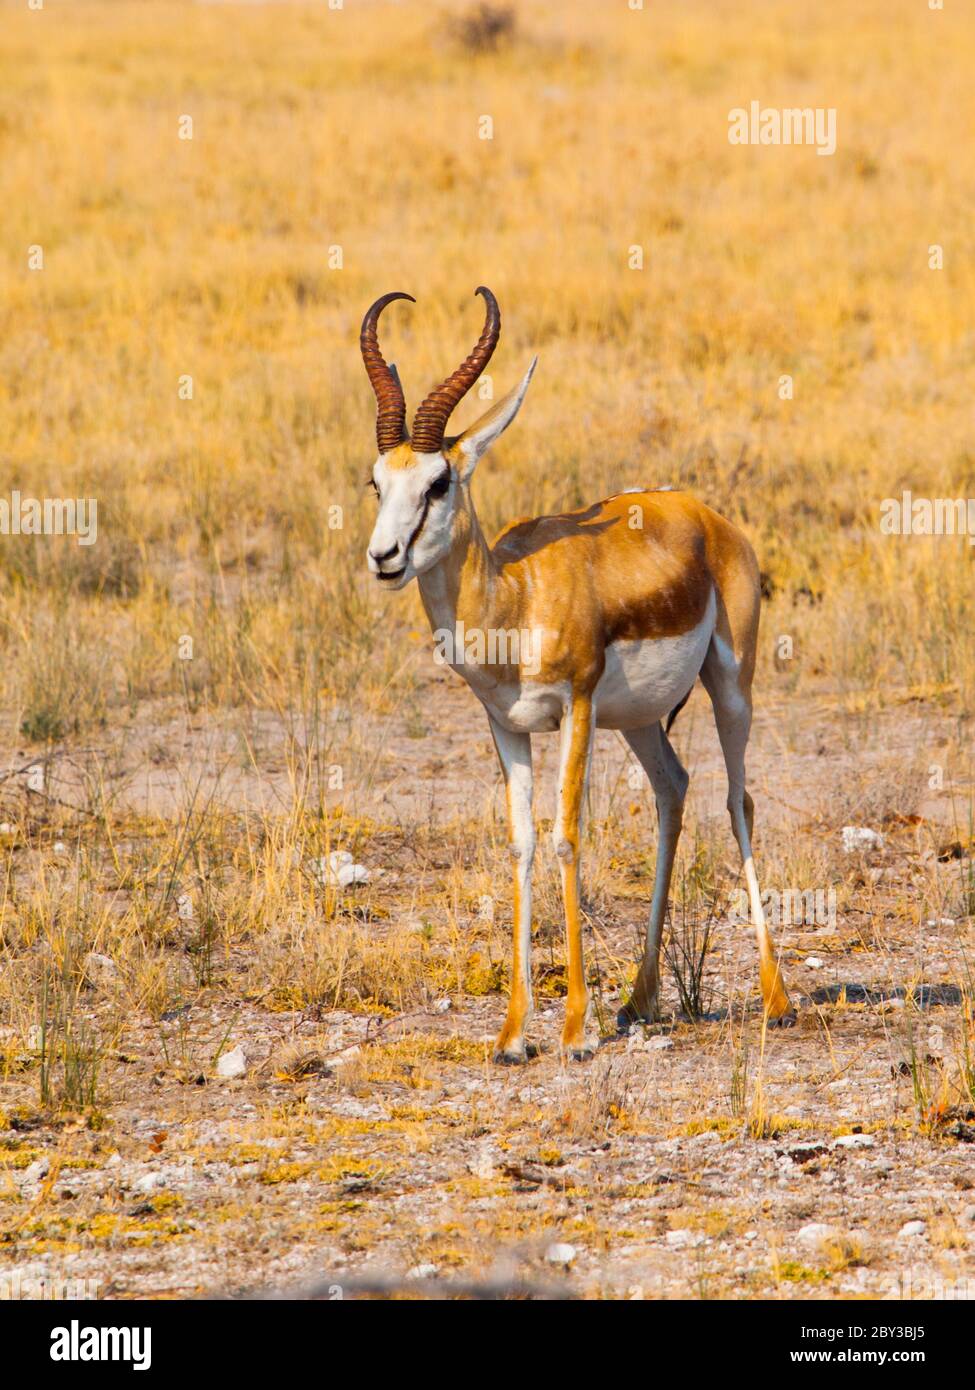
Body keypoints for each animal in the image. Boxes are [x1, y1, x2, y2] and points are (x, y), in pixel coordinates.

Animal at [361, 287, 794, 1063]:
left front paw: (571, 1029)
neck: (516, 600)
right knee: (673, 789)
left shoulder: (578, 708)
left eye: (439, 482)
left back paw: (776, 999)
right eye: (375, 481)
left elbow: (566, 835)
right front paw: (511, 1033)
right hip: (642, 721)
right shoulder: (505, 726)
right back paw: (640, 998)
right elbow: (523, 842)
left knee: (737, 801)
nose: (384, 557)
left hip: (731, 687)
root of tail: (703, 515)